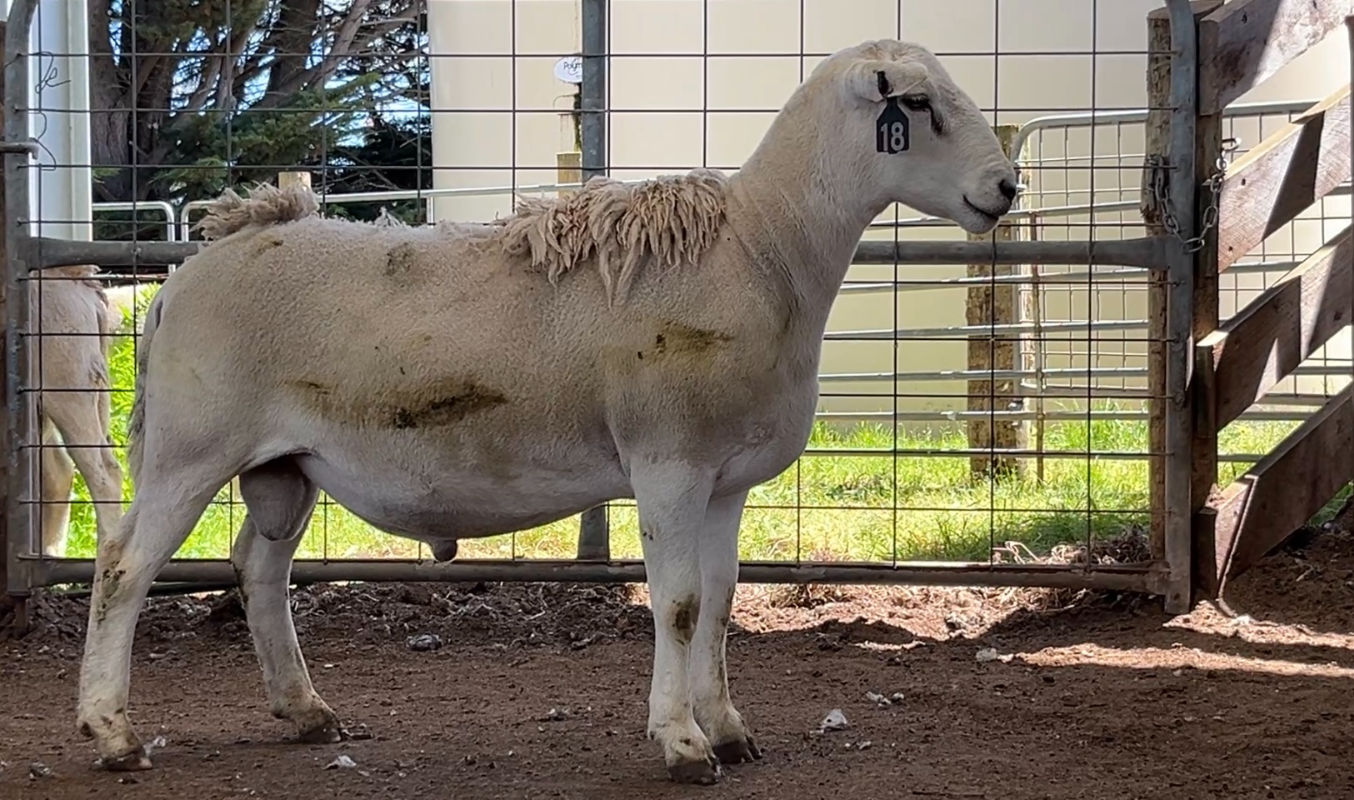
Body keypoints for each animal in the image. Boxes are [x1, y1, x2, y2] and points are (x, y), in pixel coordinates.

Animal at [74, 38, 1018, 784]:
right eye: (918, 103)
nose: (1006, 186)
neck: (762, 251)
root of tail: (191, 270)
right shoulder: (669, 464)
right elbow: (678, 604)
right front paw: (682, 745)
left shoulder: (725, 479)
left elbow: (719, 603)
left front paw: (729, 731)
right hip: (192, 447)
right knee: (124, 567)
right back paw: (112, 733)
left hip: (285, 465)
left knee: (259, 571)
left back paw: (306, 713)